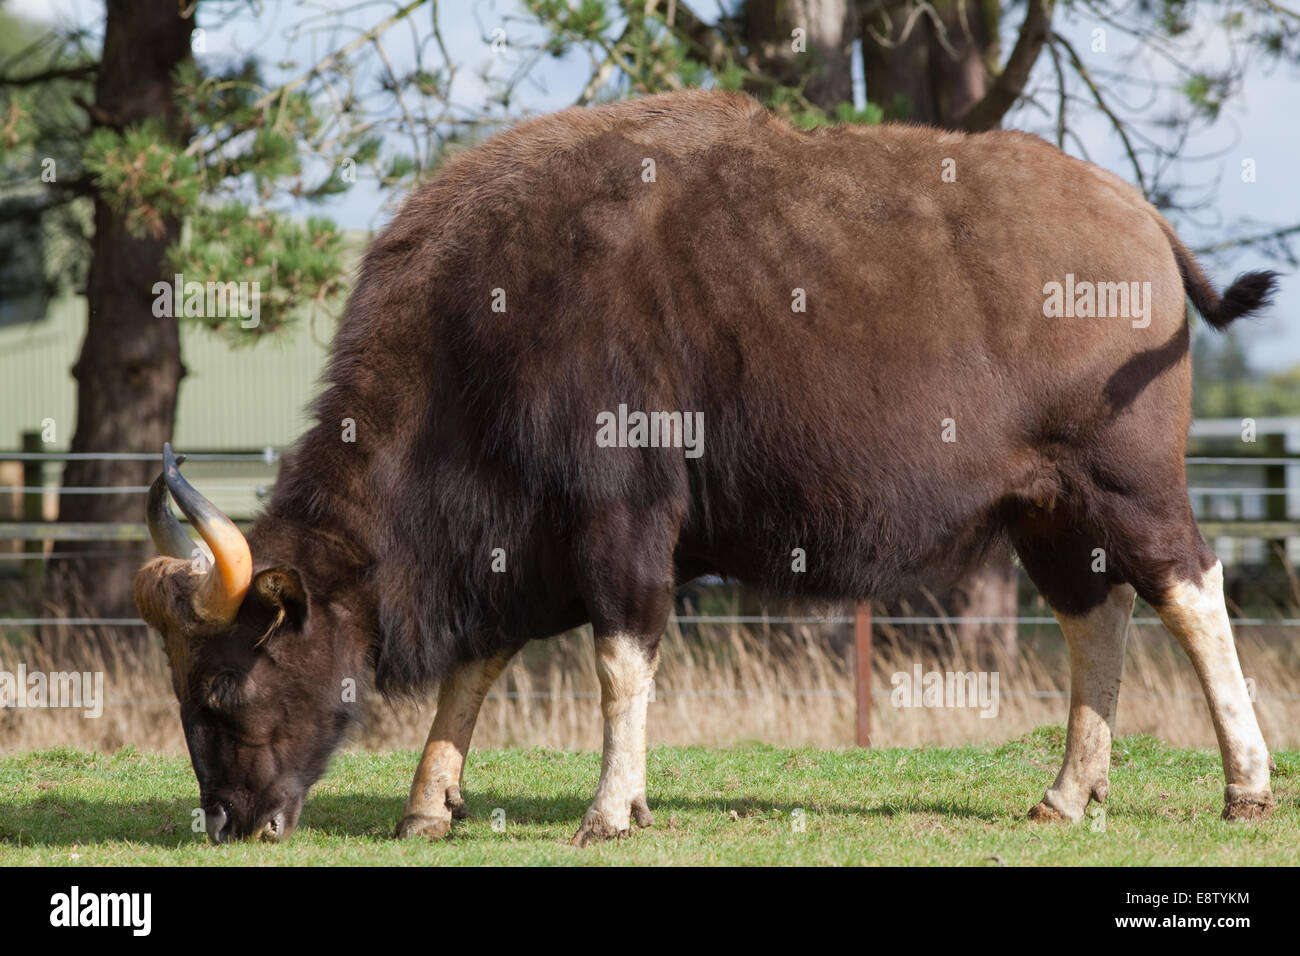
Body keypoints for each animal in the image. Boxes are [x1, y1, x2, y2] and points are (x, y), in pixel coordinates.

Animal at [134, 88, 1279, 845]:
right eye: (183, 692)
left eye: (225, 689)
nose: (228, 819)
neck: (488, 322)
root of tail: (1138, 217)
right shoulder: (518, 542)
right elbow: (480, 662)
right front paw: (431, 801)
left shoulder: (619, 525)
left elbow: (618, 658)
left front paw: (609, 807)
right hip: (1048, 511)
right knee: (1098, 617)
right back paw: (1065, 793)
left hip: (1129, 487)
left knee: (1191, 591)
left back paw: (1246, 785)